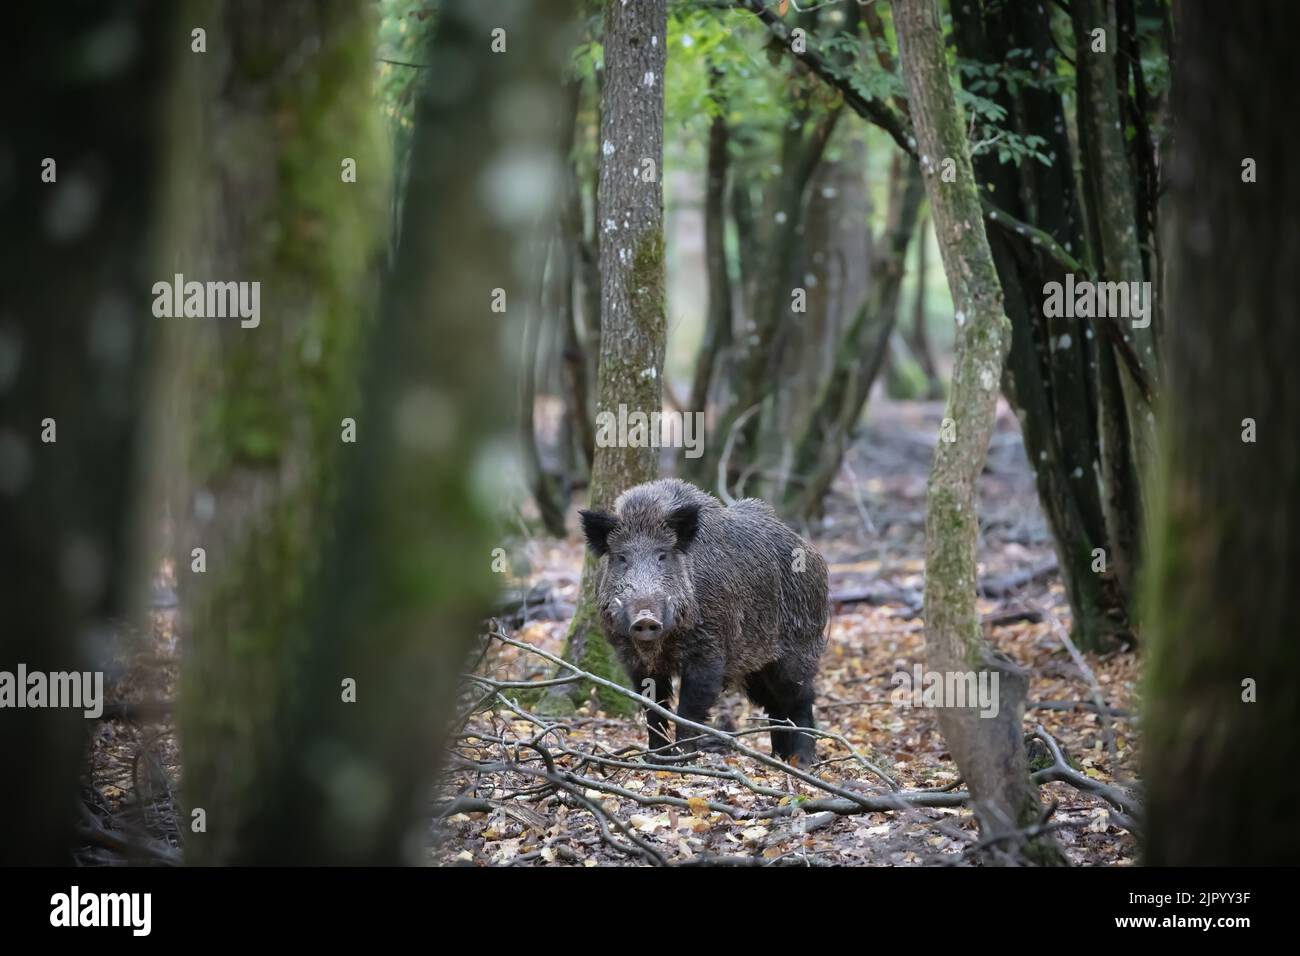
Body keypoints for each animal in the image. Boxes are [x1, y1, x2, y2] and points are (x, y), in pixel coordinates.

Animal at [579, 478, 829, 766]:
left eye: (663, 555)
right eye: (621, 557)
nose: (645, 617)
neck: (663, 644)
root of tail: (813, 553)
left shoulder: (709, 650)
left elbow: (689, 710)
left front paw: (684, 760)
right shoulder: (634, 660)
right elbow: (654, 709)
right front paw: (657, 760)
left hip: (798, 647)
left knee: (801, 699)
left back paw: (803, 762)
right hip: (756, 666)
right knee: (775, 706)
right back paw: (778, 758)